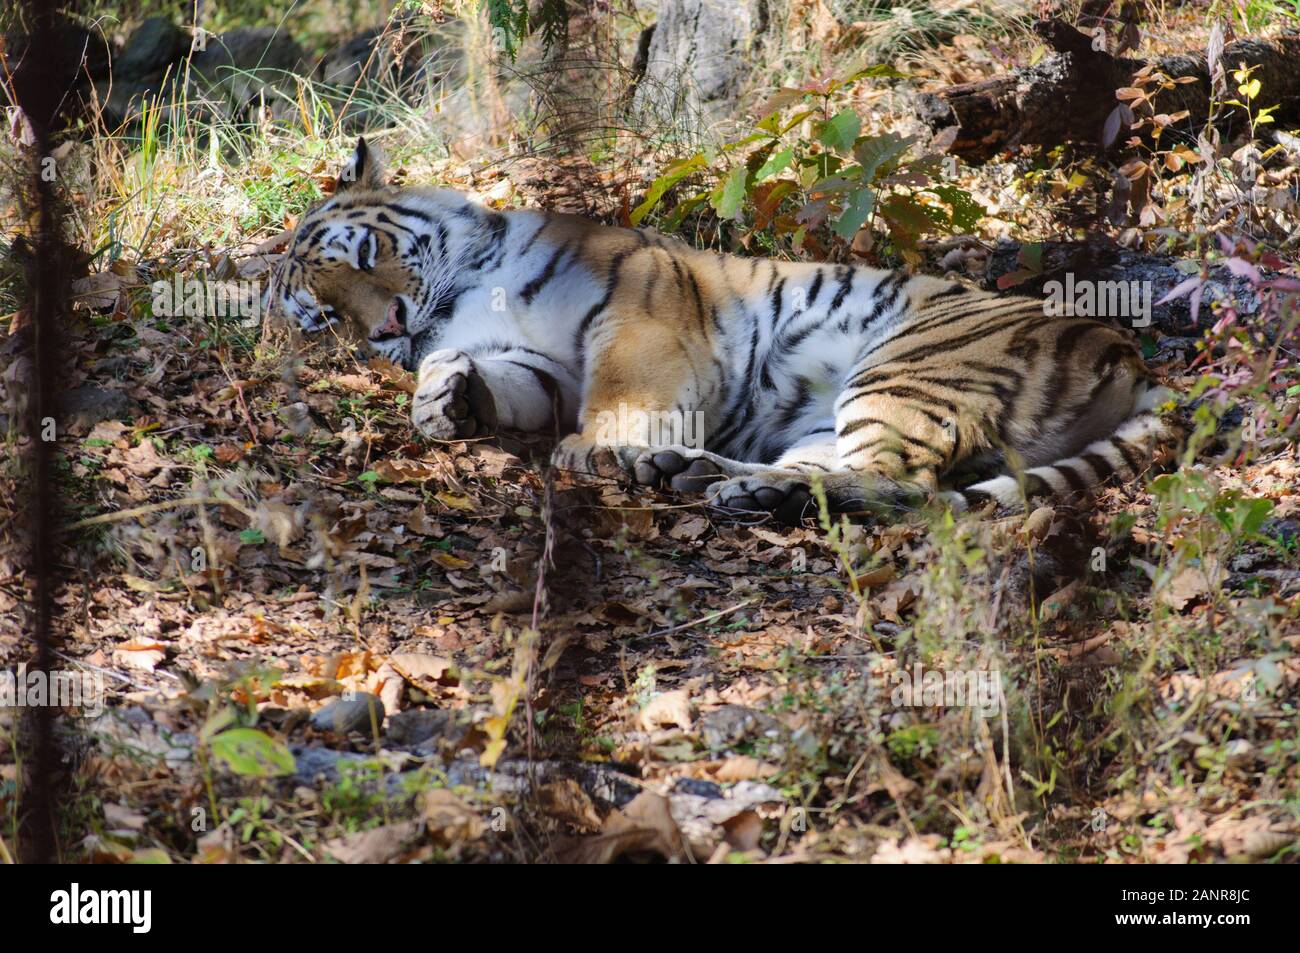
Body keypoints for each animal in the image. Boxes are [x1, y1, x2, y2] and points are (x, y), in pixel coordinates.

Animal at [271, 138, 1182, 523]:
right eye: (323, 316)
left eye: (362, 255)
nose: (384, 332)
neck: (466, 293)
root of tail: (1132, 359)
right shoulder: (539, 366)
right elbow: (493, 380)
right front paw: (441, 399)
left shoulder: (634, 317)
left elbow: (618, 397)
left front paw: (594, 449)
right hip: (842, 411)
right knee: (842, 471)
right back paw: (715, 479)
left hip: (906, 364)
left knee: (910, 487)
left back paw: (687, 472)